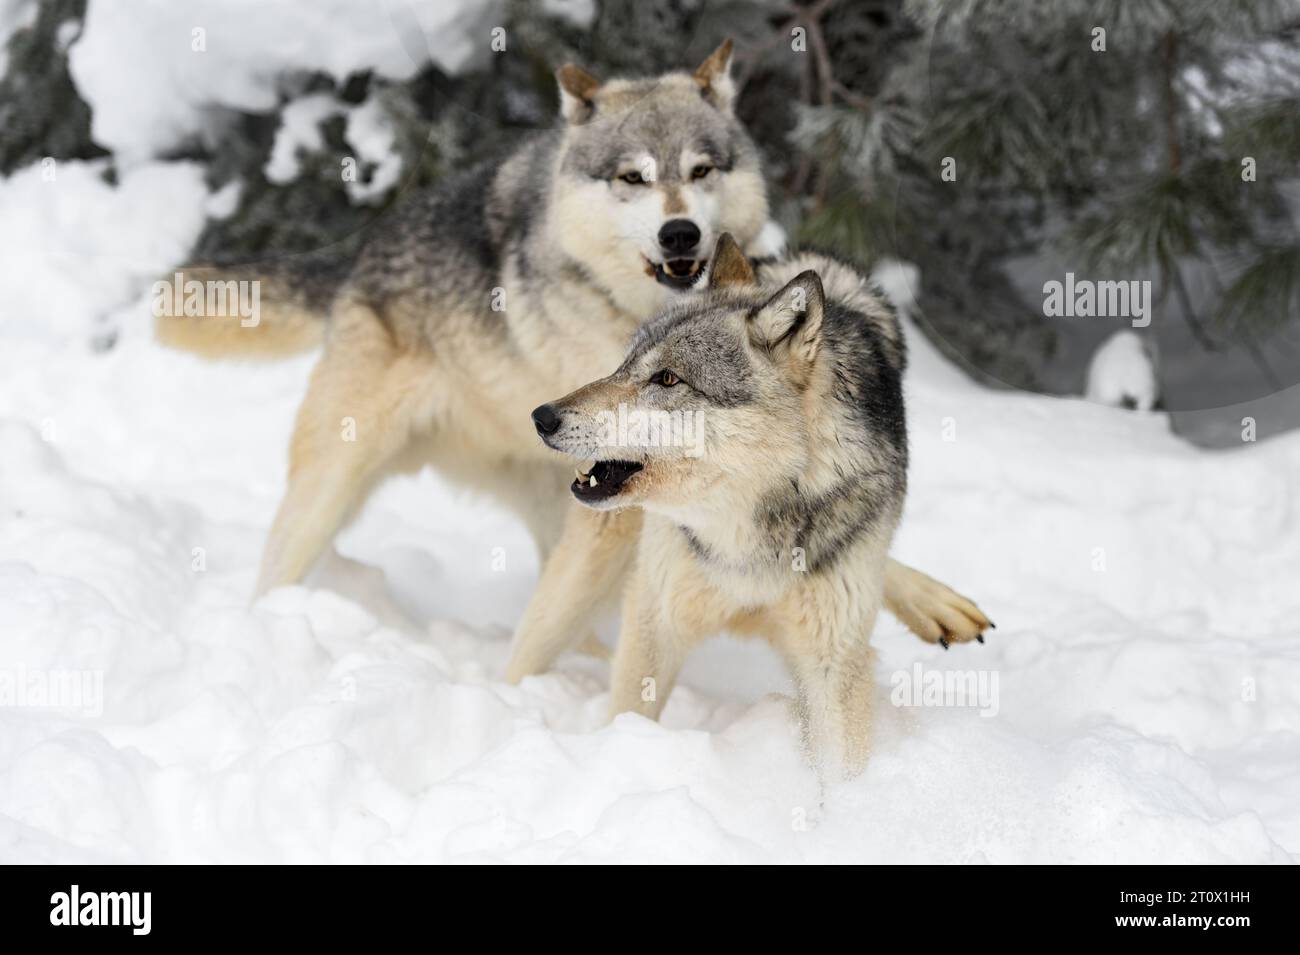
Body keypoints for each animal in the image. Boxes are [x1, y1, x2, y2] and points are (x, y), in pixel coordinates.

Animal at [155, 41, 989, 677]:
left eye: (702, 170)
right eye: (633, 177)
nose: (682, 233)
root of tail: (364, 253)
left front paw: (929, 599)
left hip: (555, 501)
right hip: (333, 486)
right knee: (283, 567)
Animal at [527, 235, 989, 775]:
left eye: (667, 379)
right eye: (624, 366)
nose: (542, 417)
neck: (746, 525)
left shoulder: (832, 665)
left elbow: (842, 769)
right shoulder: (655, 619)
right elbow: (628, 716)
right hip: (578, 585)